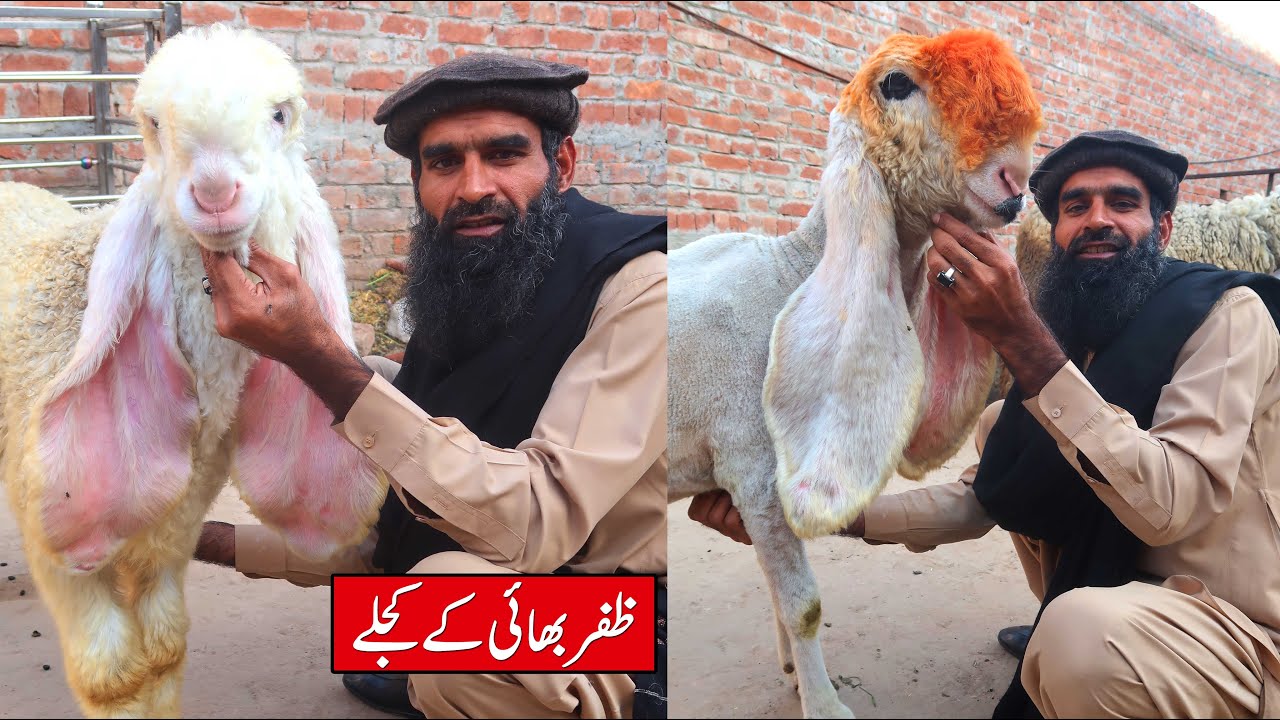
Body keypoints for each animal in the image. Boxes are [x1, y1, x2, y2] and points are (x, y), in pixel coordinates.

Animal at [0, 26, 385, 718]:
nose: (213, 193)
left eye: (281, 114)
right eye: (152, 125)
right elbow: (110, 674)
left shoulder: (176, 531)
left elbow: (163, 649)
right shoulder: (57, 546)